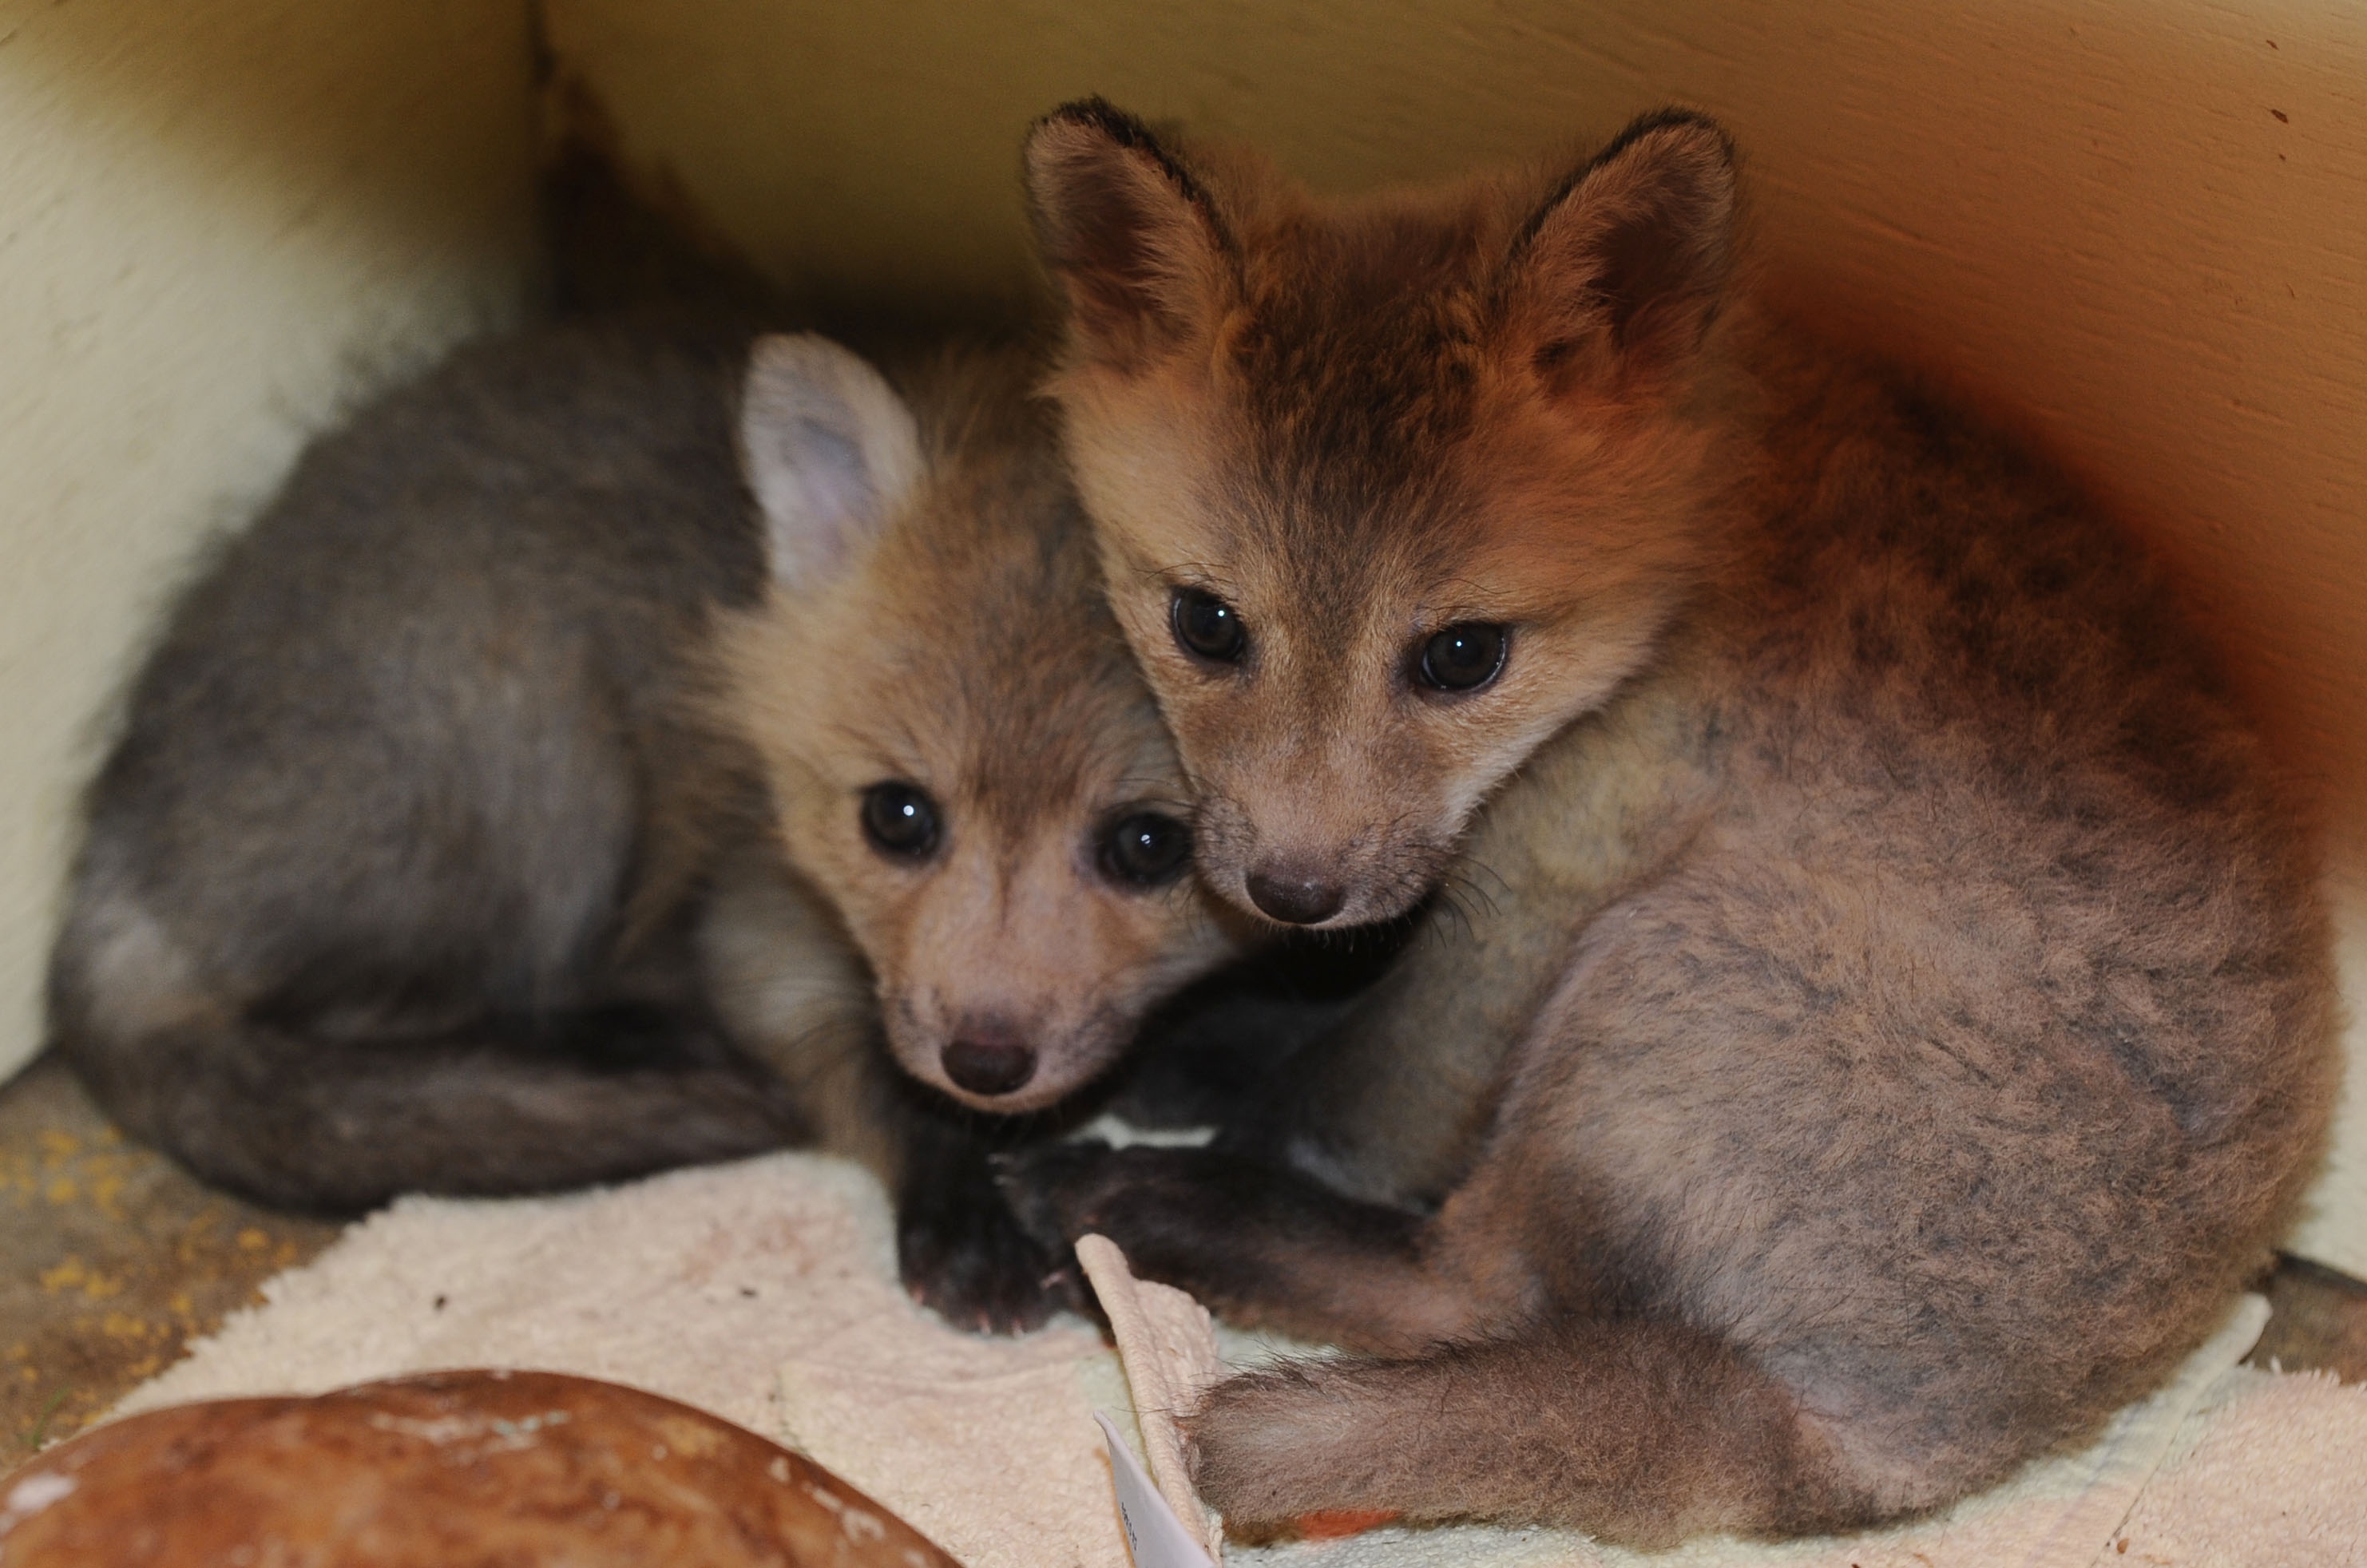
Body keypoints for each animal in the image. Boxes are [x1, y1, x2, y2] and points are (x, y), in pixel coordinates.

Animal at [47, 315, 1243, 1330]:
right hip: (534, 773)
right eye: (897, 818)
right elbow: (860, 1072)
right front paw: (963, 1208)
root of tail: (113, 854)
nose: (984, 1062)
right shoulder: (755, 914)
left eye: (1148, 846)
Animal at [1001, 100, 2341, 1544]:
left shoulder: (1548, 876)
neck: (1692, 544)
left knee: (1479, 1290)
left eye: (1460, 655)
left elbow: (1355, 1091)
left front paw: (1229, 1106)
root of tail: (1842, 1464)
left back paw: (1148, 1205)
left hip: (1667, 963)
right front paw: (1212, 1045)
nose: (1294, 896)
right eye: (1204, 624)